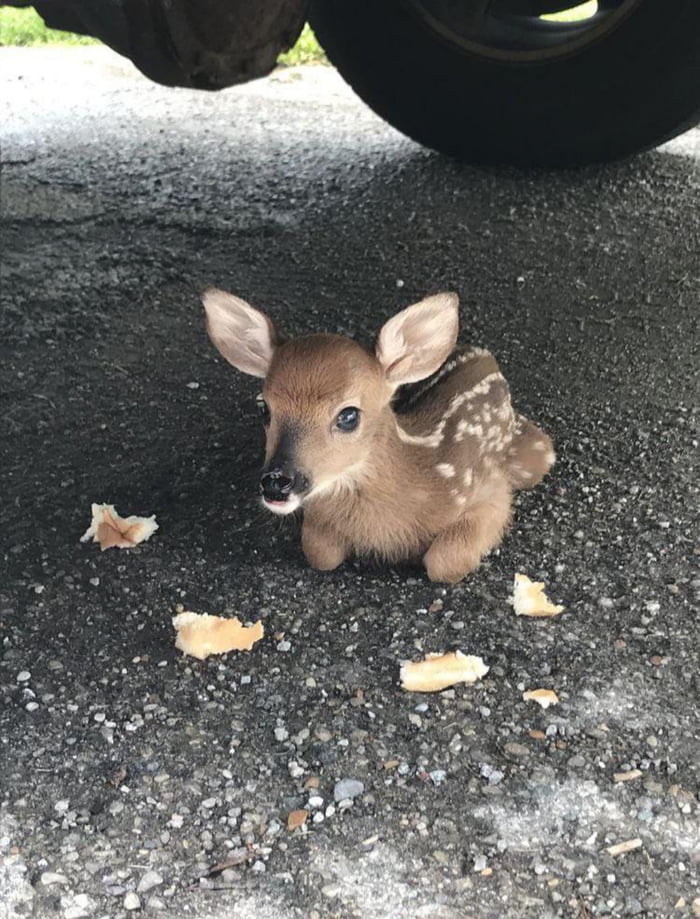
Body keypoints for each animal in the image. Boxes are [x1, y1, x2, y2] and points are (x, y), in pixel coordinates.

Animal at [202, 288, 555, 583]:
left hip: (534, 456)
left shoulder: (489, 490)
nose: (277, 481)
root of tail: (481, 353)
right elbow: (320, 553)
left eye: (348, 416)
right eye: (264, 408)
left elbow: (444, 562)